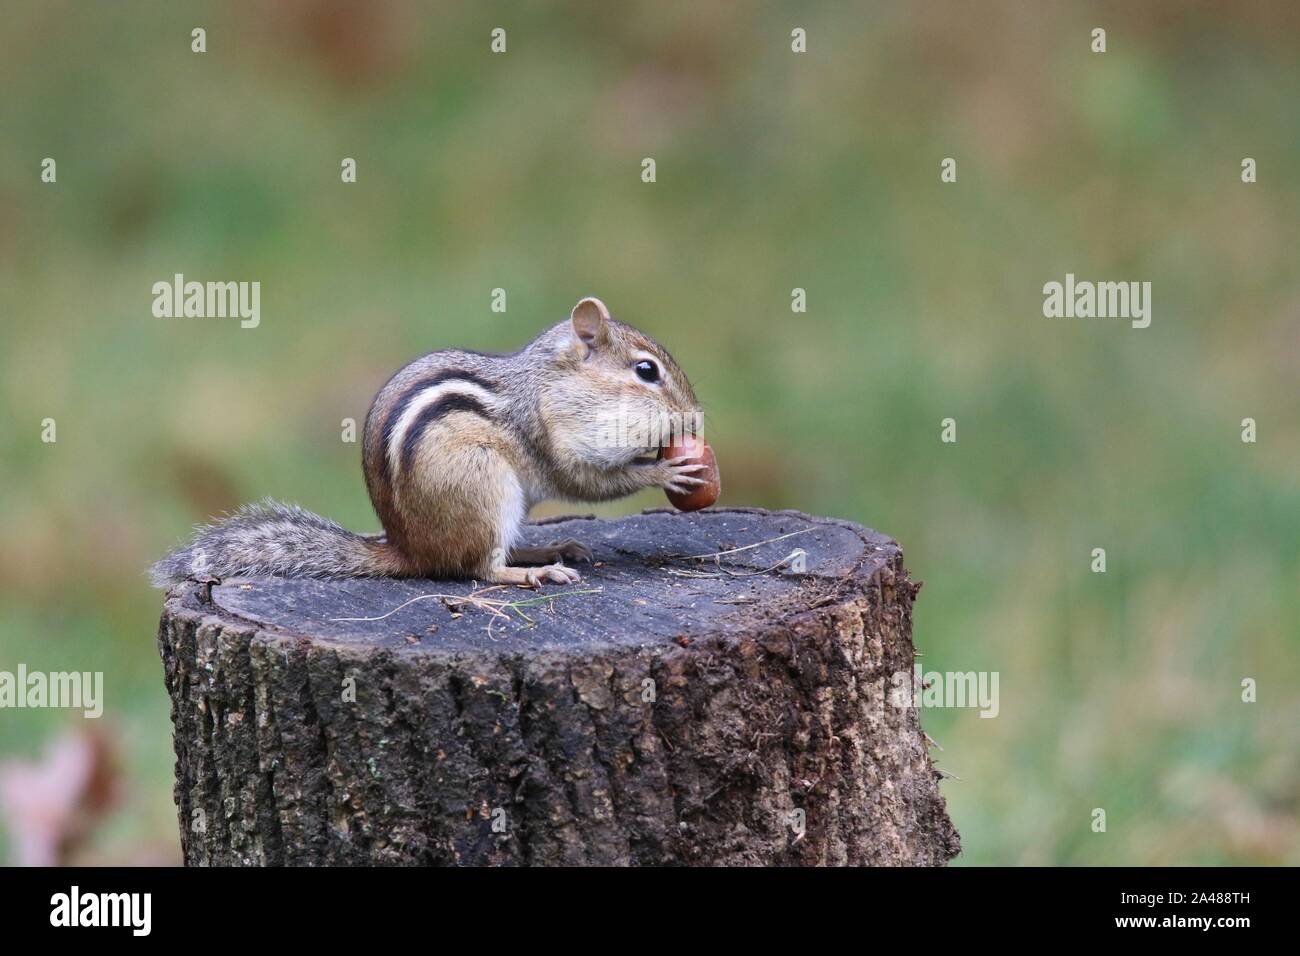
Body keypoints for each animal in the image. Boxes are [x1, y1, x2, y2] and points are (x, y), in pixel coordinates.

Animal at [150, 296, 708, 589]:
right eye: (646, 371)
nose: (696, 417)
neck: (552, 383)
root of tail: (410, 550)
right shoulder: (551, 436)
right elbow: (587, 482)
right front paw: (666, 470)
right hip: (487, 489)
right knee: (479, 569)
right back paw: (535, 573)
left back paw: (549, 549)